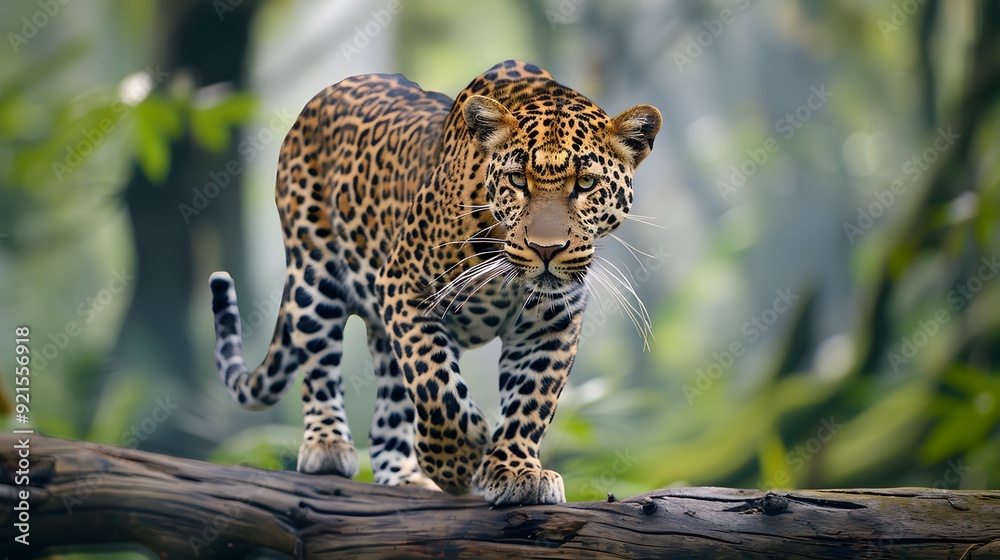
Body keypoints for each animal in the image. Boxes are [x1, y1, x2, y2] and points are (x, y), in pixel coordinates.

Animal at [209, 60, 660, 505]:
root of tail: (325, 93)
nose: (545, 250)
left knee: (386, 416)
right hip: (314, 274)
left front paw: (515, 471)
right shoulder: (404, 288)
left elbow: (531, 401)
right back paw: (328, 448)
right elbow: (434, 383)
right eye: (518, 181)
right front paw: (455, 462)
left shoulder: (550, 324)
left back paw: (405, 478)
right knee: (319, 364)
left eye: (585, 184)